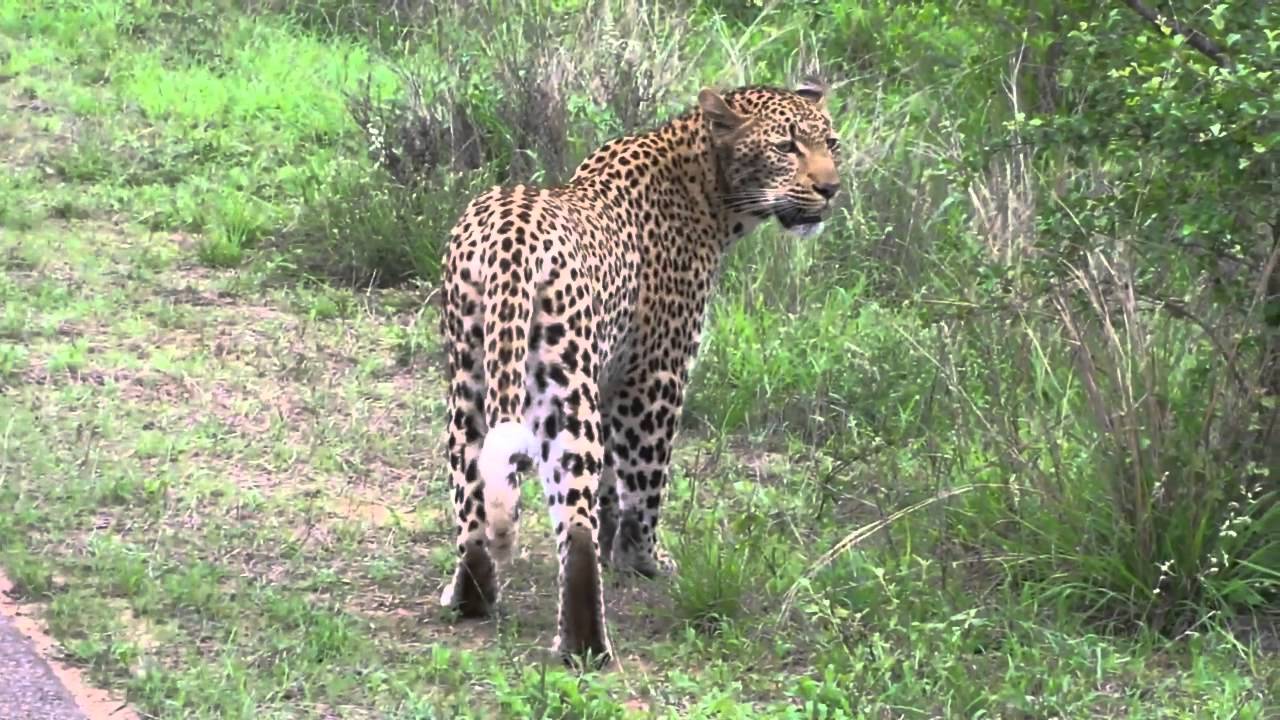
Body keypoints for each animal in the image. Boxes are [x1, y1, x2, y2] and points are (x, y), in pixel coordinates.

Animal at [437, 80, 841, 668]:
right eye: (786, 147)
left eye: (831, 142)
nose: (831, 188)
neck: (709, 189)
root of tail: (510, 242)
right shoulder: (654, 377)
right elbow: (647, 480)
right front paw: (641, 558)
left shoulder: (610, 379)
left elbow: (611, 484)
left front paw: (619, 546)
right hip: (562, 391)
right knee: (574, 523)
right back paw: (586, 645)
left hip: (468, 380)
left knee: (473, 499)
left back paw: (472, 597)